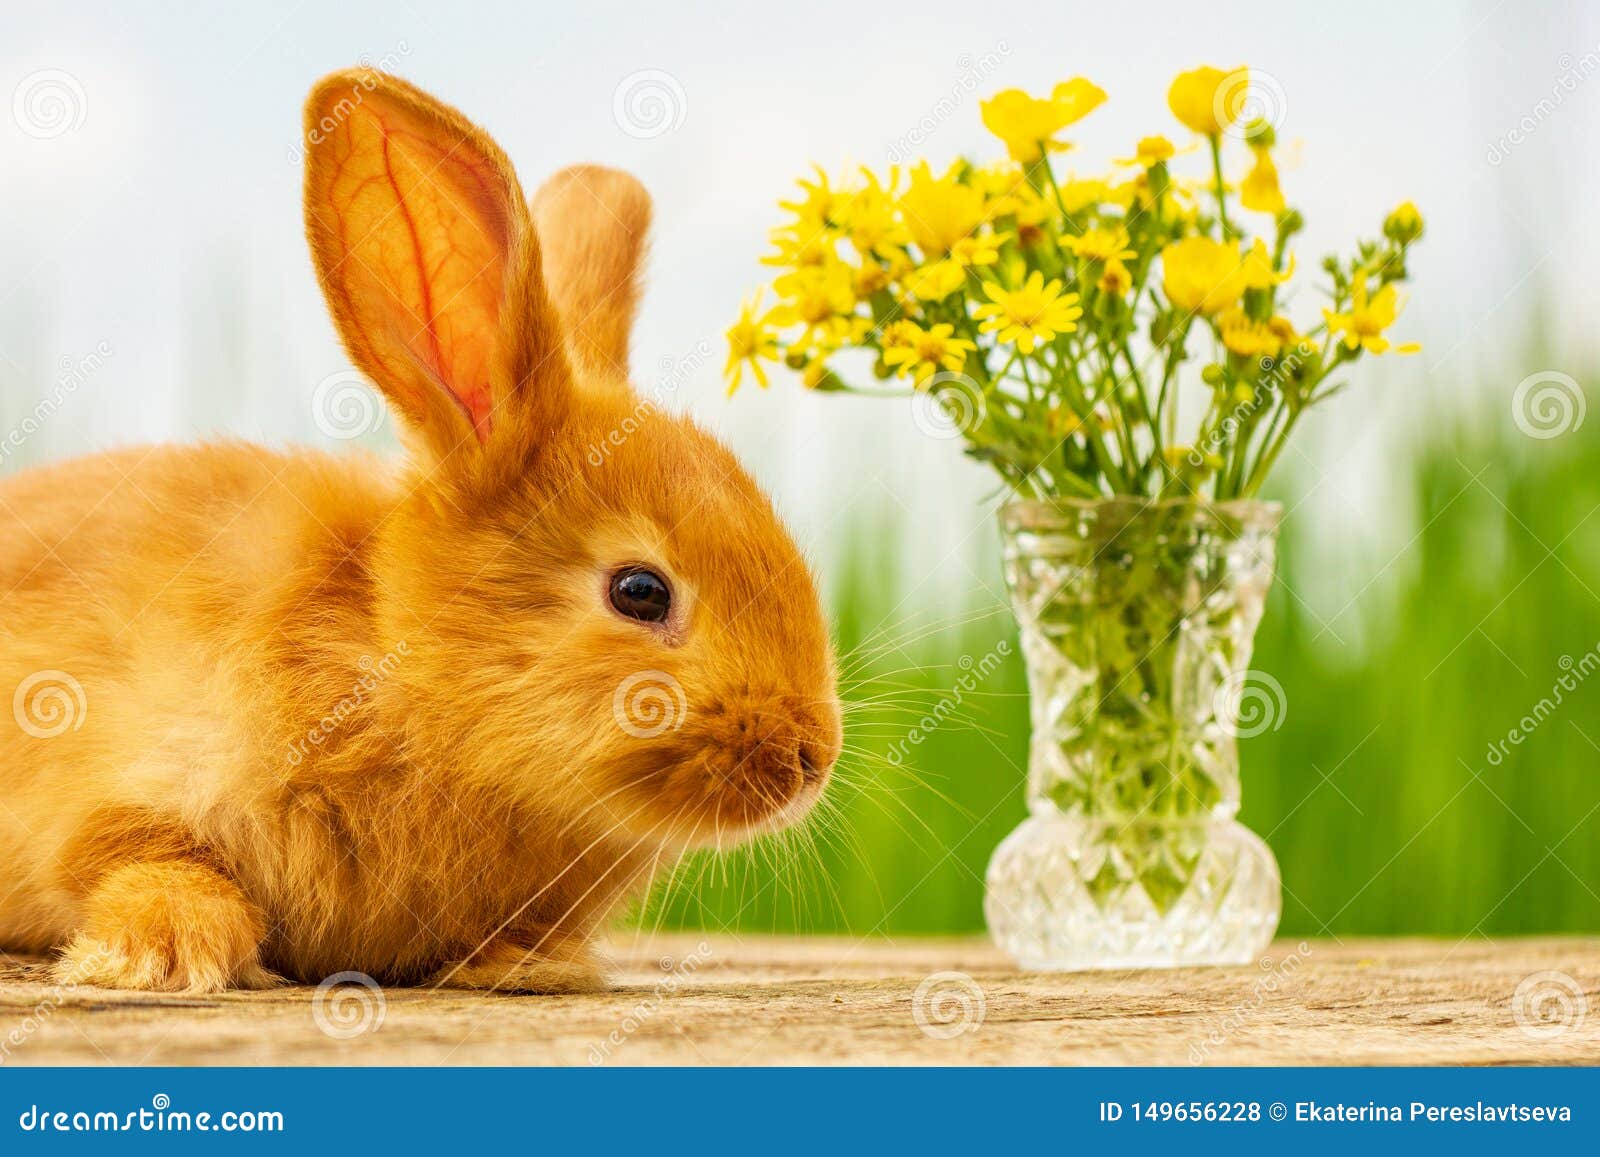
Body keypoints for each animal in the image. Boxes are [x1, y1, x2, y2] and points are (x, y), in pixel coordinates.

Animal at [0, 69, 841, 994]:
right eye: (640, 591)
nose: (810, 757)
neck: (392, 666)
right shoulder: (119, 786)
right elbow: (147, 863)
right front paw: (160, 955)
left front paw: (531, 964)